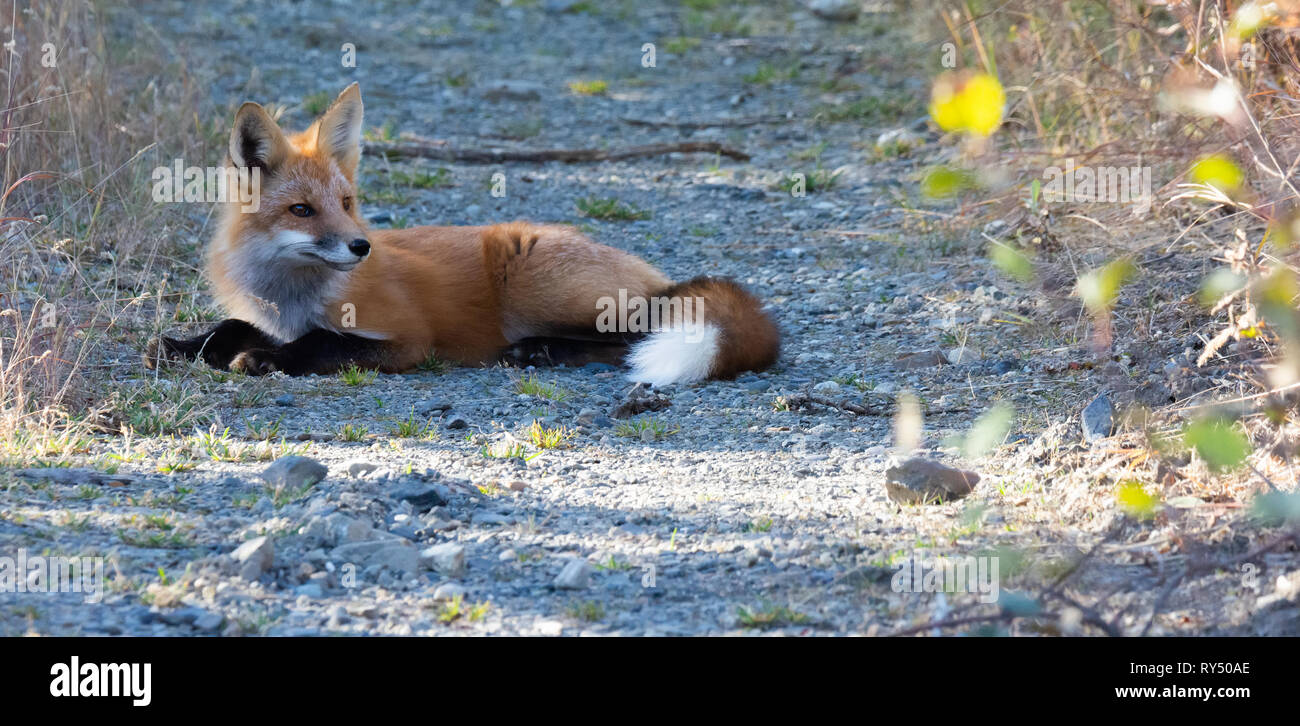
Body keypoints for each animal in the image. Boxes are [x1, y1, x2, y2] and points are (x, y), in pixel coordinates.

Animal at [145, 83, 780, 386]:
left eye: (346, 205)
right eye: (302, 210)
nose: (360, 247)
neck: (291, 296)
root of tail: (652, 272)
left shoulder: (406, 339)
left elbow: (321, 343)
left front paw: (262, 361)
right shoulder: (266, 316)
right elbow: (229, 325)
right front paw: (182, 345)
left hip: (536, 287)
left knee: (634, 335)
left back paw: (542, 350)